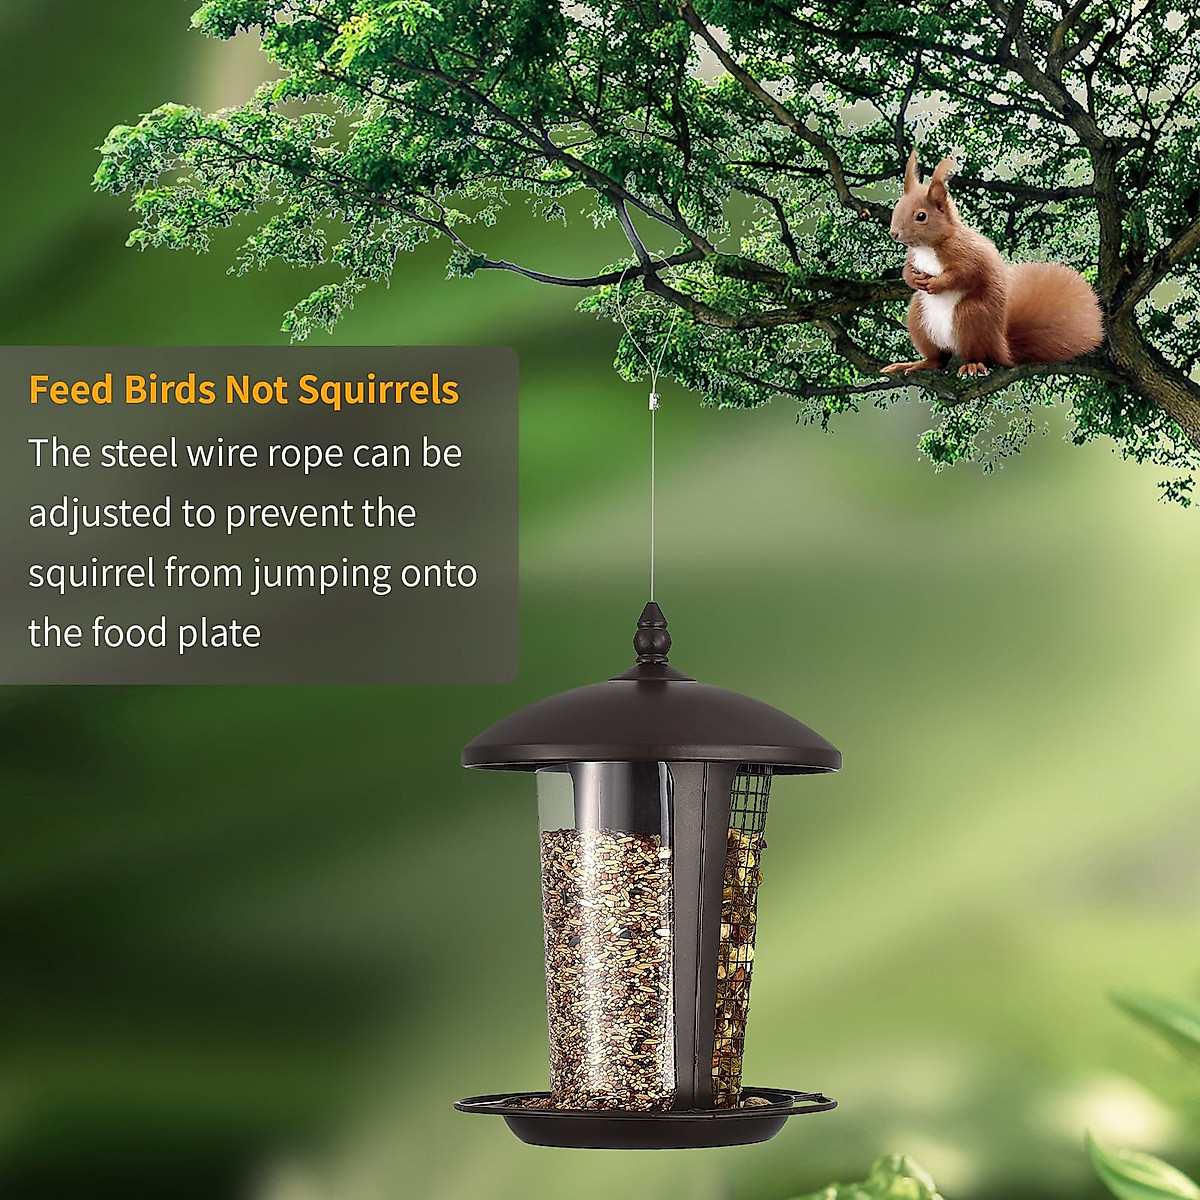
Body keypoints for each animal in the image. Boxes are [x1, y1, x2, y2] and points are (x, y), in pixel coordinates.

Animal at [881, 149, 1104, 378]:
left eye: (921, 216)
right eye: (897, 207)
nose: (894, 233)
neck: (928, 247)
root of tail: (1003, 349)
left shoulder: (967, 254)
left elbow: (964, 274)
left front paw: (937, 283)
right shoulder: (913, 256)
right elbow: (906, 270)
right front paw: (913, 278)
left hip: (971, 316)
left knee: (981, 355)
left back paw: (972, 365)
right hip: (919, 317)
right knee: (938, 360)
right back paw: (916, 364)